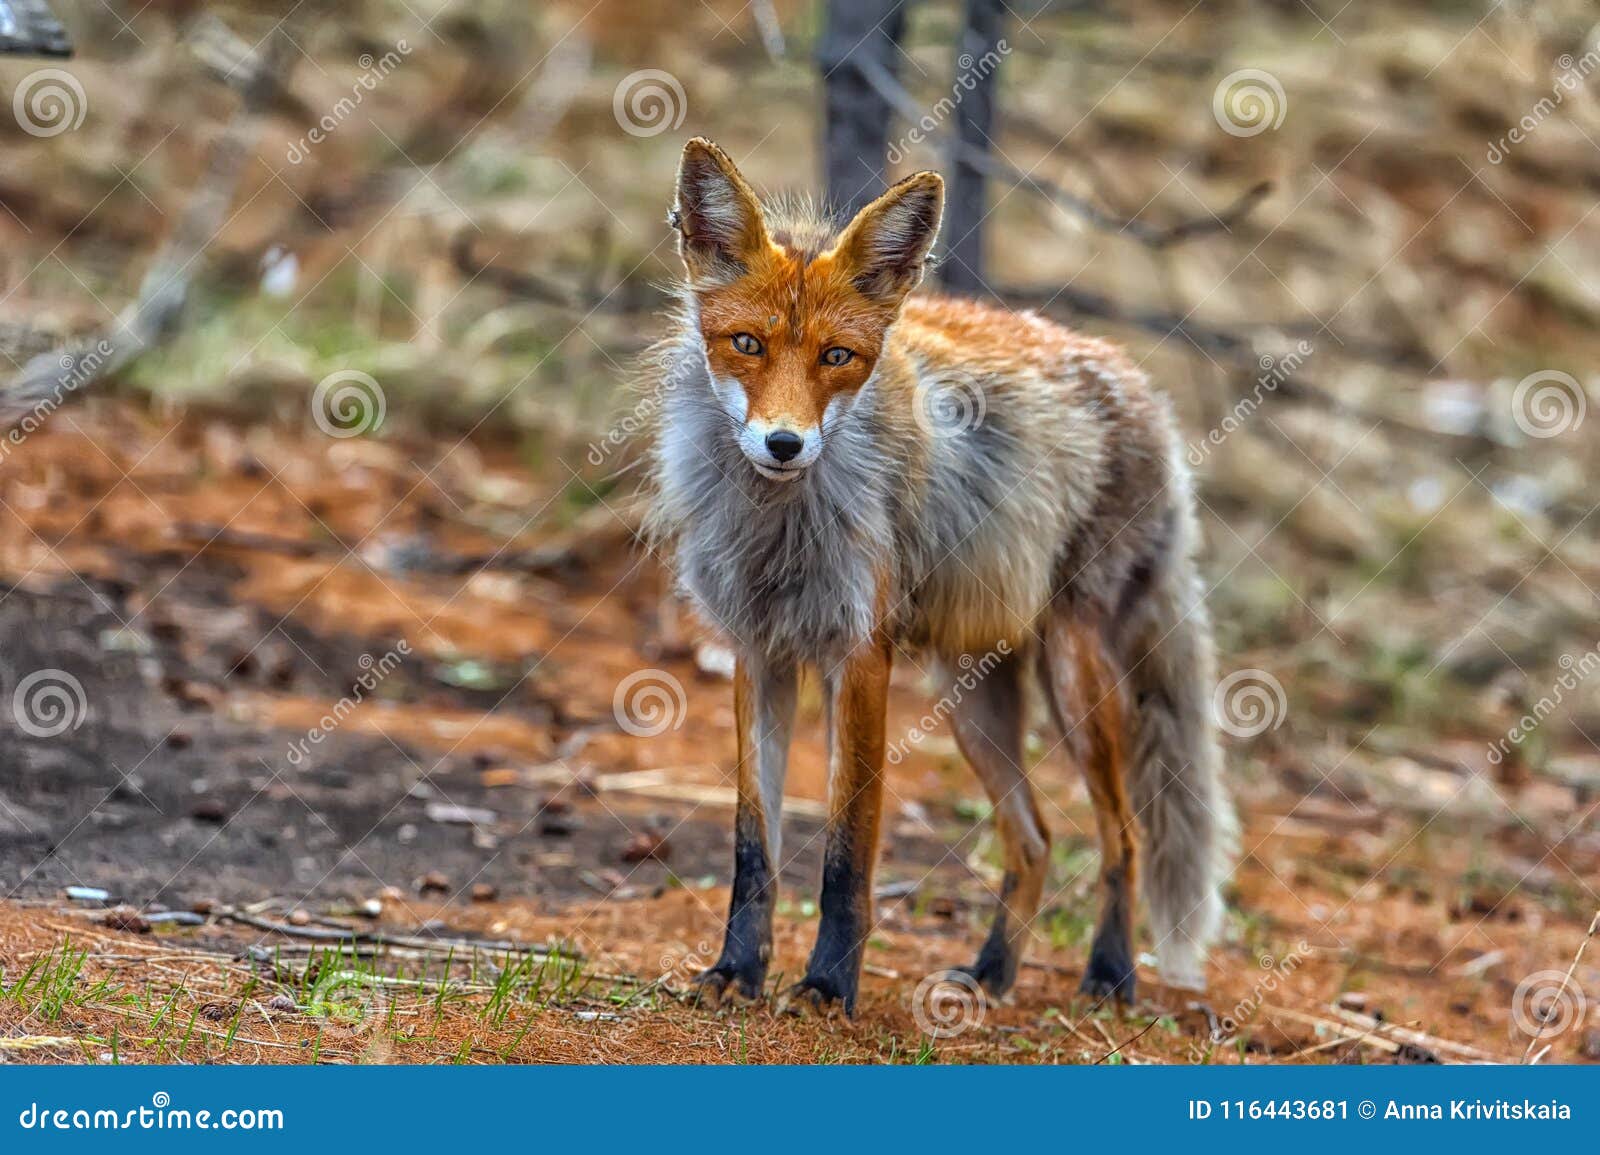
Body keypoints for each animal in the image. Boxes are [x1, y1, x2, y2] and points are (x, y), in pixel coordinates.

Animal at [642, 138, 1235, 1015]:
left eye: (838, 357)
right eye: (746, 343)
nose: (783, 444)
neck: (780, 528)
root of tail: (1144, 390)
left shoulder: (861, 655)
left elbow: (847, 852)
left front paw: (827, 987)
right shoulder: (761, 650)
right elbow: (755, 847)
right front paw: (737, 972)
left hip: (1075, 677)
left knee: (1121, 834)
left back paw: (1111, 972)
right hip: (973, 695)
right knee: (1034, 838)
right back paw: (992, 973)